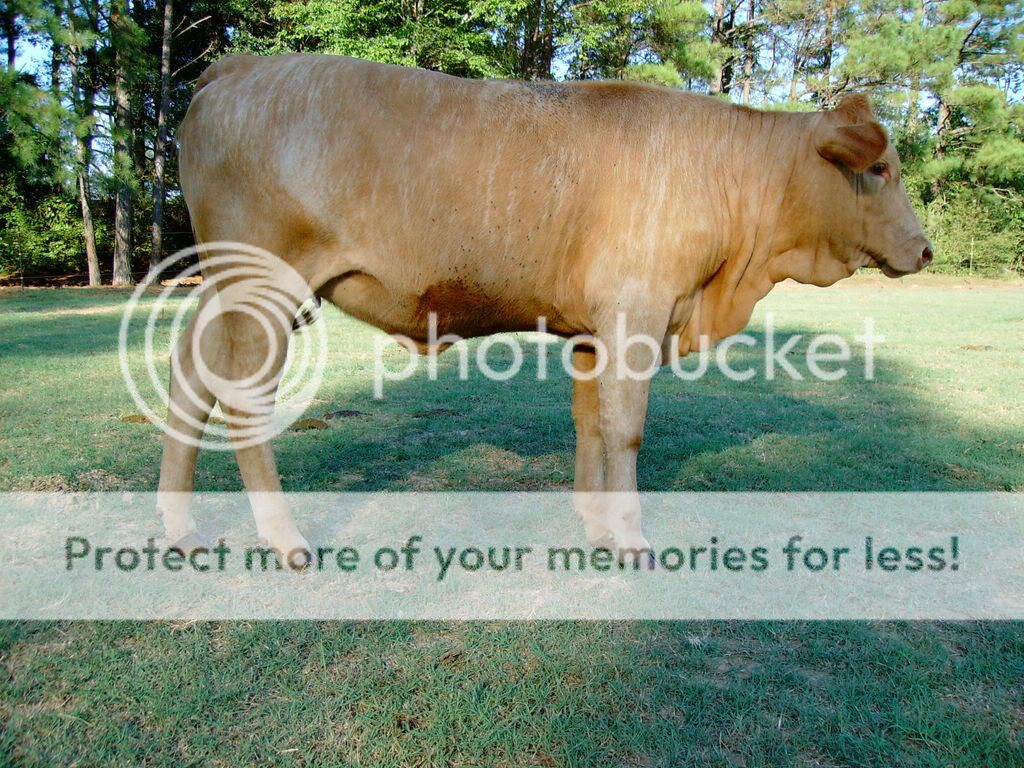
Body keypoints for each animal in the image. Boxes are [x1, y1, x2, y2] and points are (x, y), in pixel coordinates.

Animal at [157, 53, 932, 566]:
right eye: (879, 169)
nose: (925, 250)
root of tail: (241, 68)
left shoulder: (592, 330)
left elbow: (589, 421)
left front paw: (594, 522)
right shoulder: (636, 313)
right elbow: (625, 429)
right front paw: (631, 540)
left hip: (225, 288)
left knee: (189, 373)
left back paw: (181, 529)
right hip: (263, 284)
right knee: (243, 397)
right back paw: (284, 540)